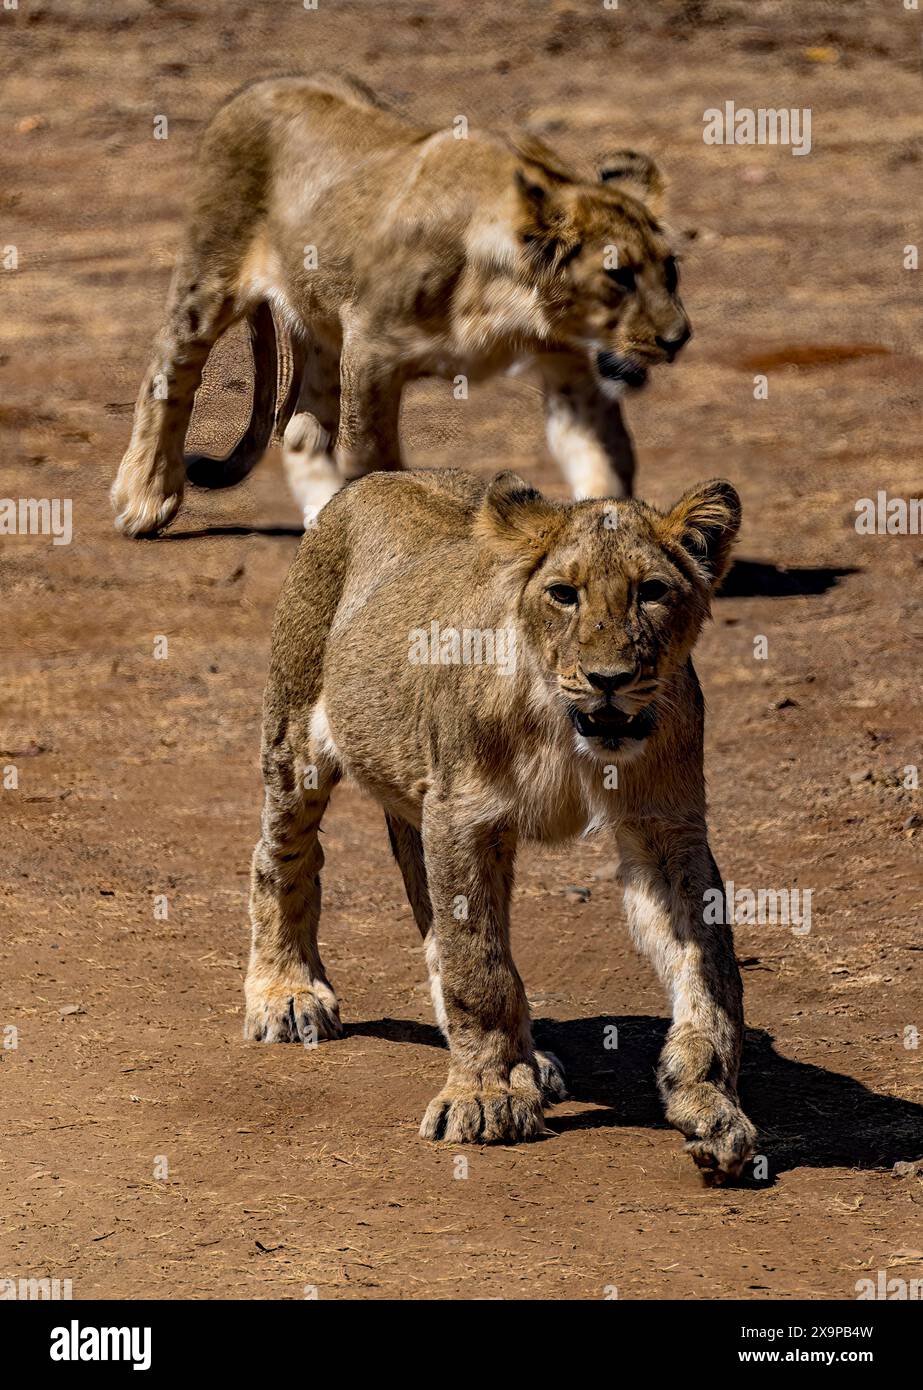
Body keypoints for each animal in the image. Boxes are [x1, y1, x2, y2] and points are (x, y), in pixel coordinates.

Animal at [110, 74, 691, 537]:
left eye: (670, 269)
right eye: (618, 275)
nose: (678, 338)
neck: (512, 301)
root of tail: (260, 85)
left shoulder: (570, 366)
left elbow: (604, 460)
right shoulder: (372, 348)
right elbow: (376, 463)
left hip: (323, 323)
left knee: (300, 431)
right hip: (210, 275)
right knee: (169, 368)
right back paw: (144, 499)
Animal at [244, 466, 757, 1183]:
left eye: (652, 592)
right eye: (564, 594)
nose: (609, 679)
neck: (568, 733)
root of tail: (376, 476)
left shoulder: (665, 827)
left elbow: (708, 965)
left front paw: (711, 1102)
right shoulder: (464, 813)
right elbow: (479, 964)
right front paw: (485, 1097)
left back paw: (529, 1063)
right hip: (296, 742)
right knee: (284, 857)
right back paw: (287, 996)